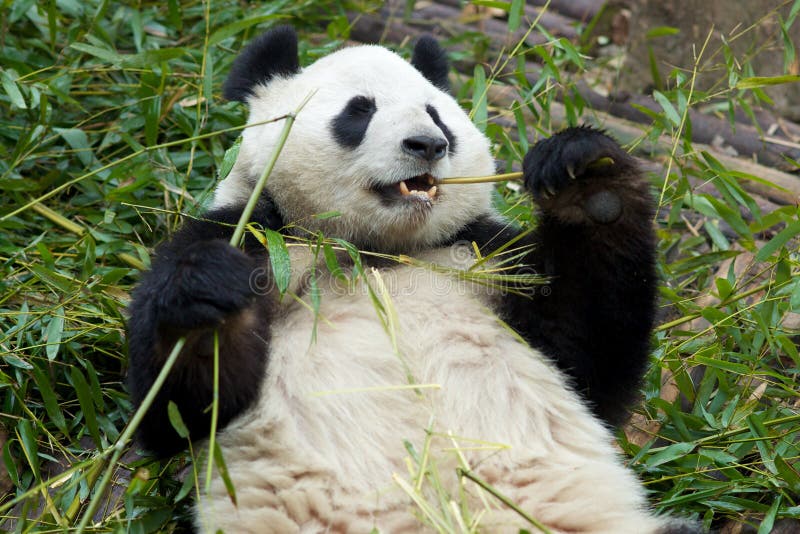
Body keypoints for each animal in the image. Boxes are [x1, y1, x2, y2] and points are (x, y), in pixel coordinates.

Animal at [127, 26, 698, 534]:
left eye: (436, 113)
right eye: (358, 112)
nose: (427, 144)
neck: (379, 253)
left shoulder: (484, 257)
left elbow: (591, 361)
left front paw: (589, 182)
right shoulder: (267, 242)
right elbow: (177, 410)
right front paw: (207, 289)